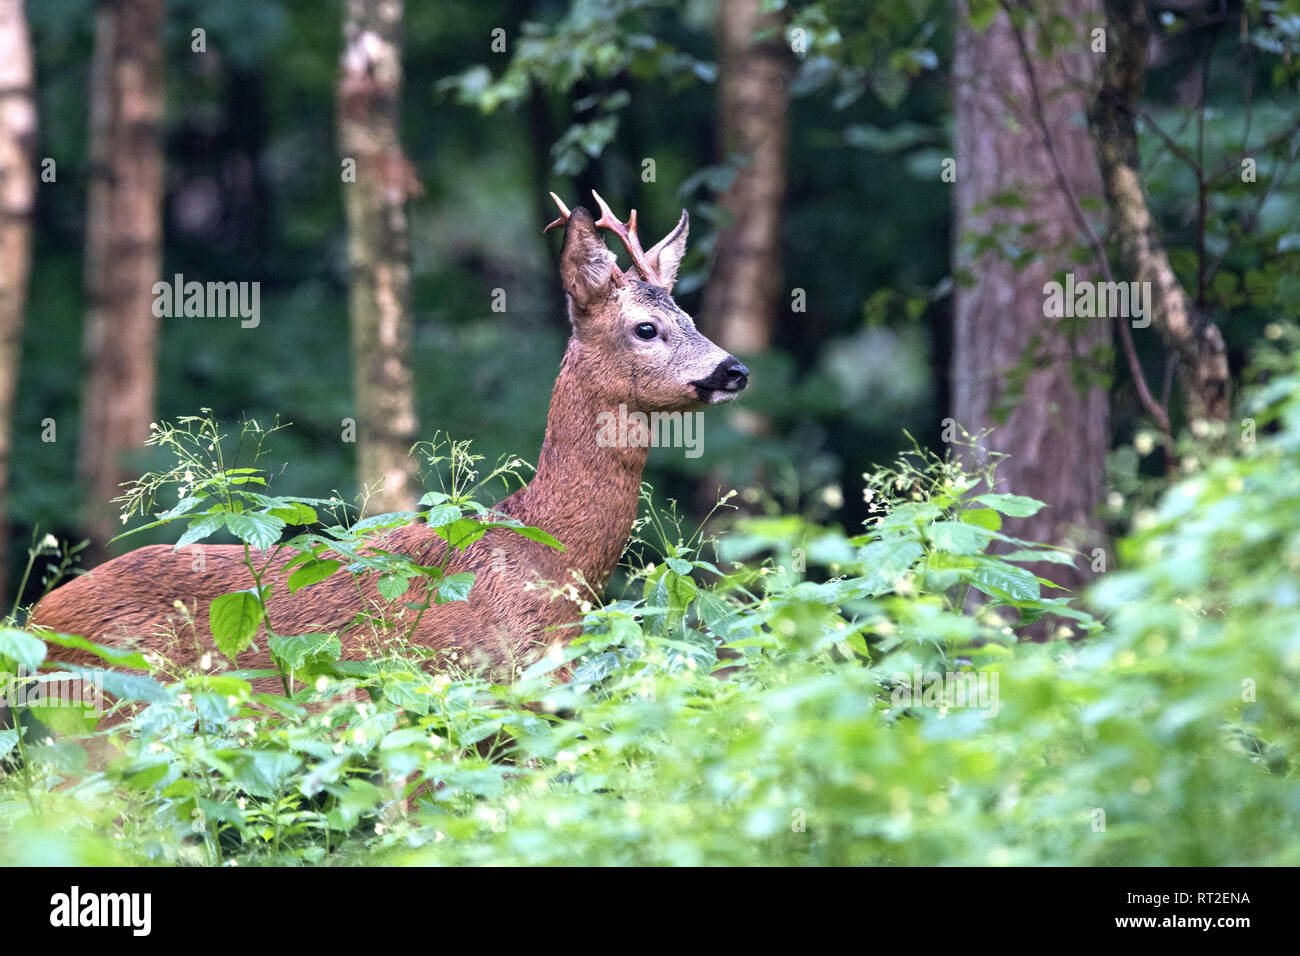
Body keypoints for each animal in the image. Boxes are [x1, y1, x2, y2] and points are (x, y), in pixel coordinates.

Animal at [29, 192, 750, 695]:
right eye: (646, 327)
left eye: (691, 317)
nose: (733, 369)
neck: (542, 561)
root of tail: (36, 619)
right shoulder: (444, 684)